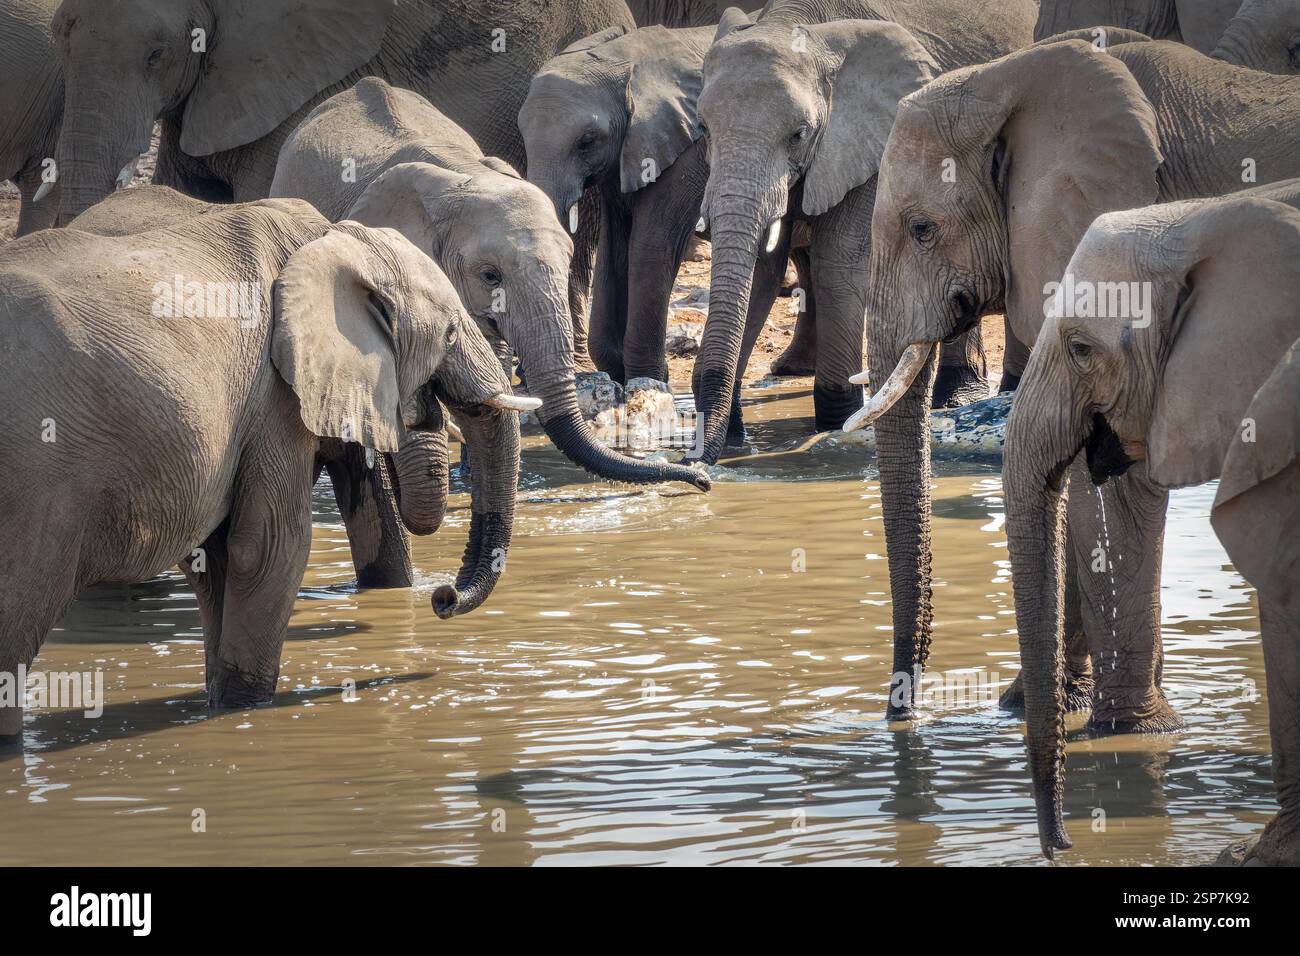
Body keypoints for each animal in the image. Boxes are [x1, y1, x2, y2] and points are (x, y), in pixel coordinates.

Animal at [0, 187, 536, 732]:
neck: (335, 240)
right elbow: (270, 545)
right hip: (35, 480)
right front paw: (244, 712)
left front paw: (221, 706)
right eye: (450, 334)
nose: (442, 596)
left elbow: (218, 554)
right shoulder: (273, 396)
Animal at [686, 0, 1038, 464]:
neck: (798, 26)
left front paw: (832, 427)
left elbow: (837, 259)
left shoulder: (875, 141)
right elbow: (761, 266)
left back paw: (966, 396)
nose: (695, 463)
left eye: (798, 134)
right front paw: (731, 439)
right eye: (703, 129)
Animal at [847, 39, 1300, 727]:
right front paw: (1044, 704)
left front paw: (1106, 724)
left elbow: (1102, 483)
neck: (1007, 78)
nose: (903, 715)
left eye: (922, 228)